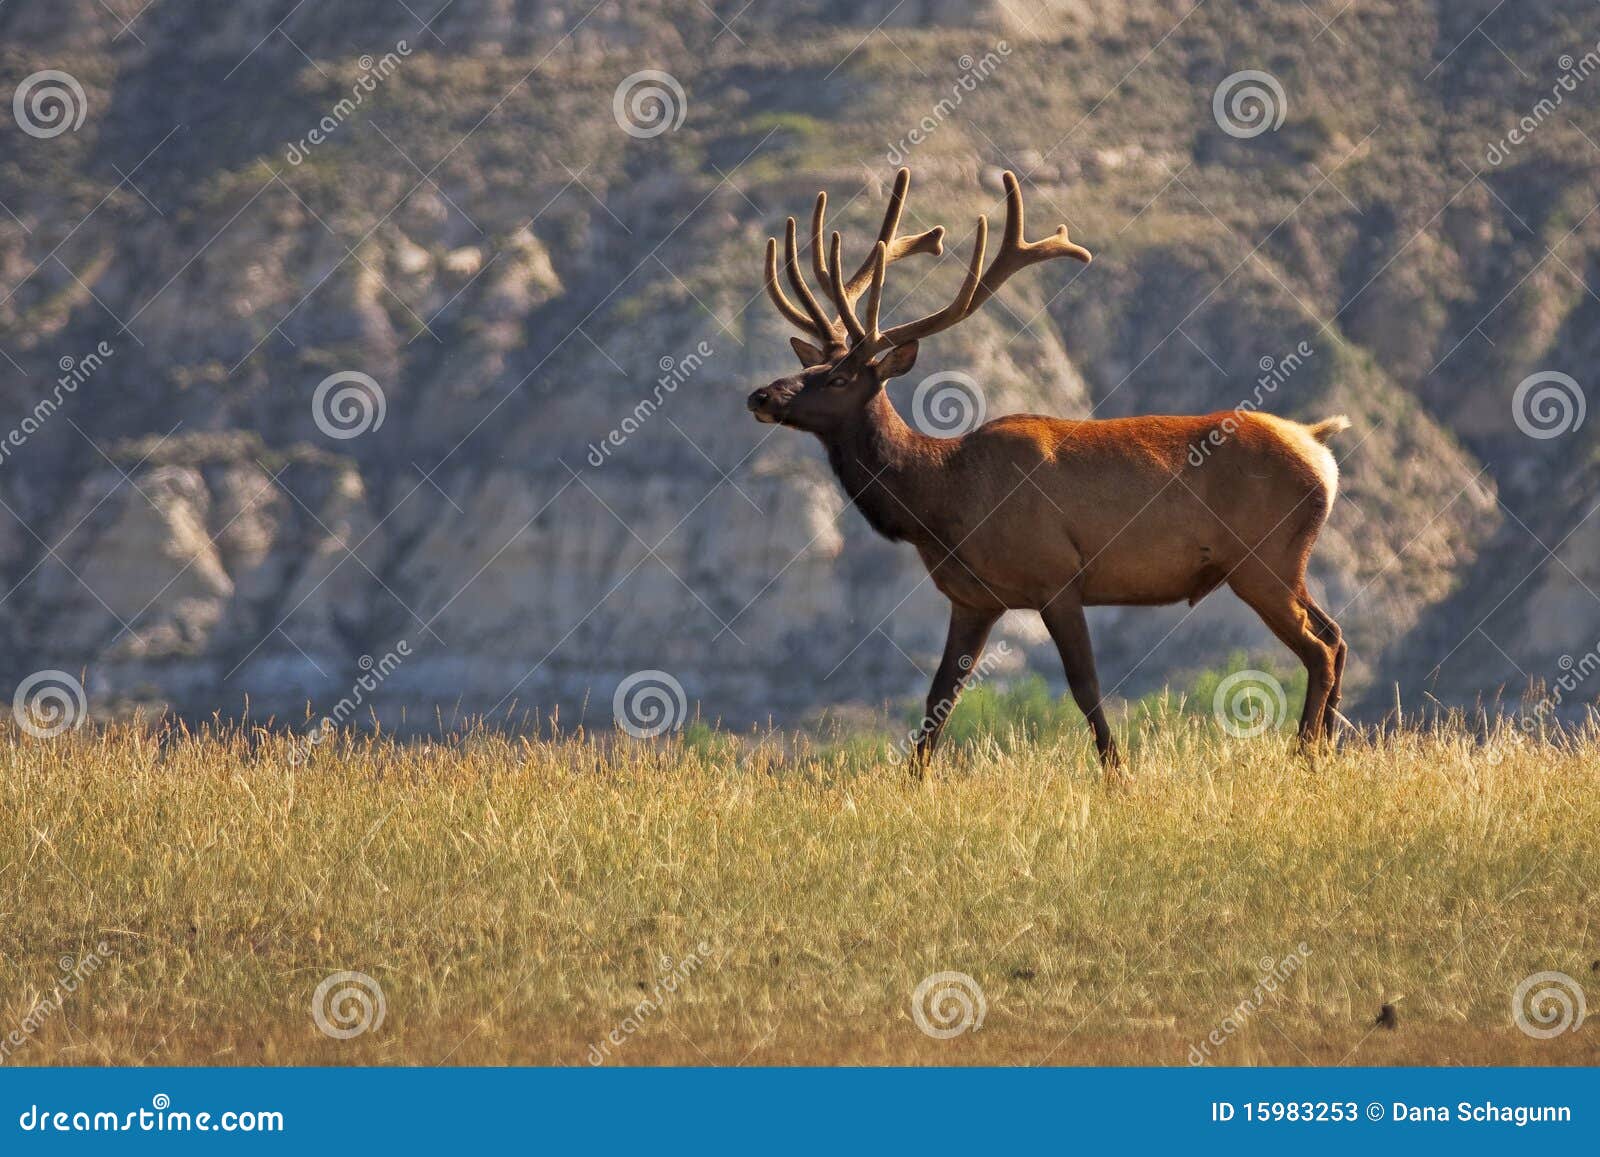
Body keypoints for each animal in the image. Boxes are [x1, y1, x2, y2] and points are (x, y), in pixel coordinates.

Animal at [747, 167, 1351, 773]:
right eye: (814, 365)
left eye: (840, 378)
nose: (760, 394)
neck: (938, 502)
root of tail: (1318, 446)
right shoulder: (974, 599)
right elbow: (939, 698)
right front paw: (912, 781)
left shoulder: (1056, 575)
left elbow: (1085, 686)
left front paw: (1117, 775)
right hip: (1283, 561)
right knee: (1336, 635)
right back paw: (1324, 747)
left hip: (1263, 558)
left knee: (1319, 647)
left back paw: (1304, 754)